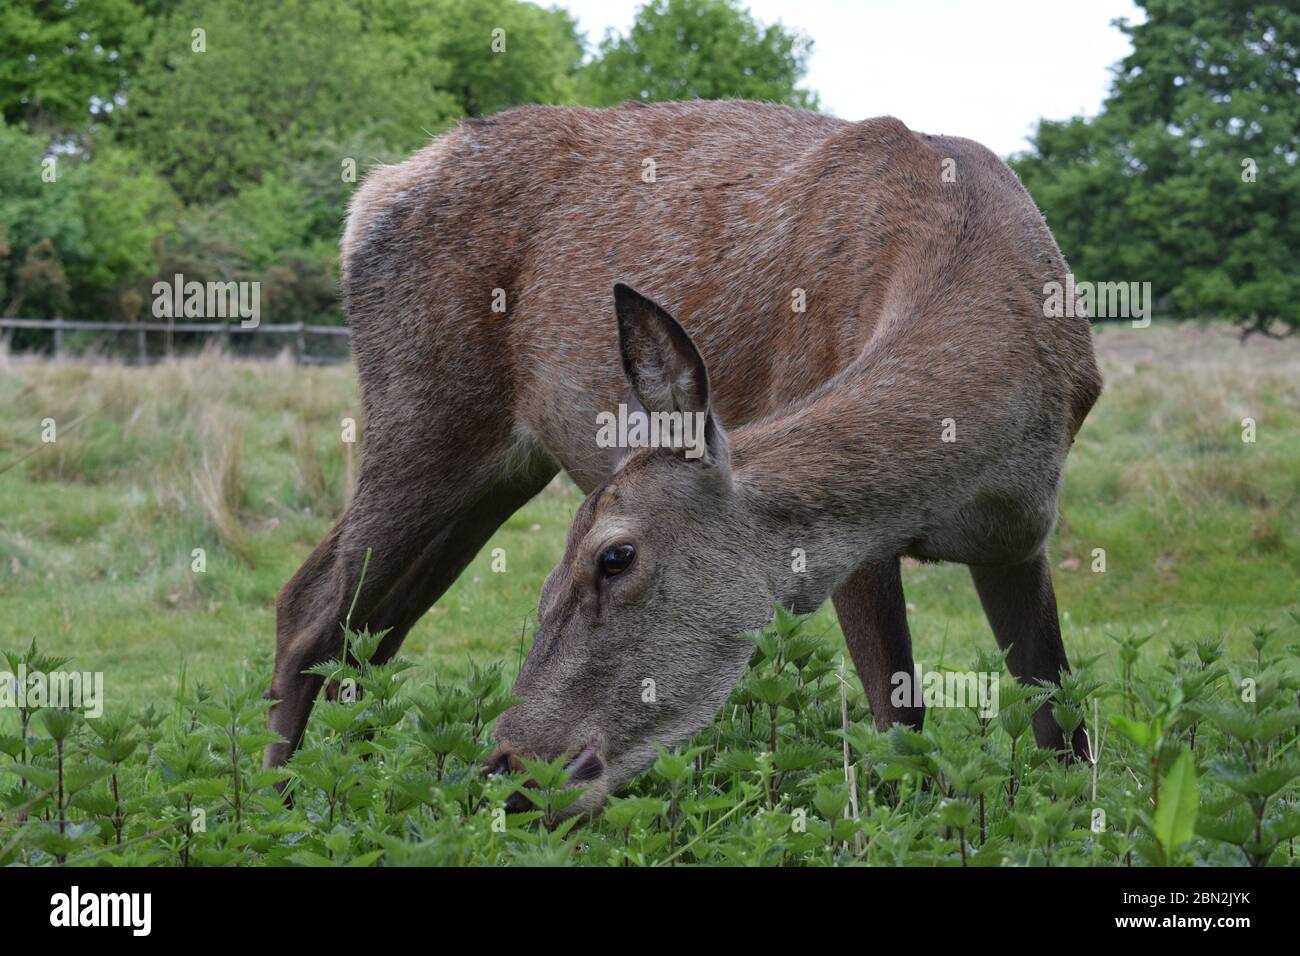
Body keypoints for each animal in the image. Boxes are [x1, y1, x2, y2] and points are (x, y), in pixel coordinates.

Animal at [264, 101, 1102, 816]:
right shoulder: (856, 538)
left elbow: (1063, 724)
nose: (512, 767)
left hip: (496, 469)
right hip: (422, 411)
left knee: (373, 632)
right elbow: (899, 721)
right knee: (311, 606)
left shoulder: (1019, 536)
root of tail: (369, 199)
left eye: (613, 558)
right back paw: (284, 801)